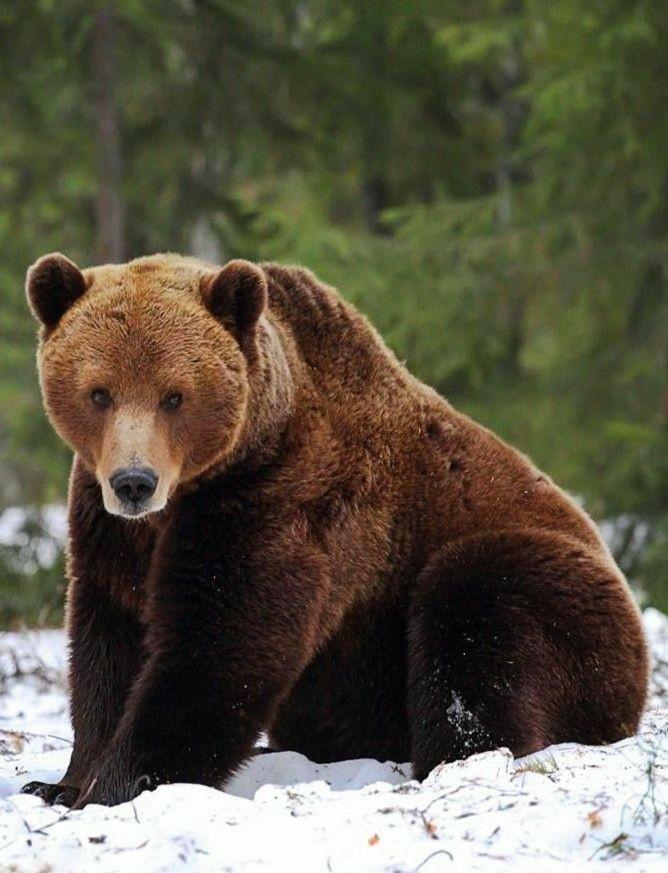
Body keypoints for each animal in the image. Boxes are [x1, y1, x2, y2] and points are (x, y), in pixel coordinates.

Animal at [20, 251, 648, 808]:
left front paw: (116, 786)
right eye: (99, 392)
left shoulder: (288, 497)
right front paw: (62, 783)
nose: (134, 482)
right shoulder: (109, 527)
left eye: (175, 395)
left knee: (480, 608)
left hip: (556, 598)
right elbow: (111, 637)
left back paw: (454, 762)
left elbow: (224, 642)